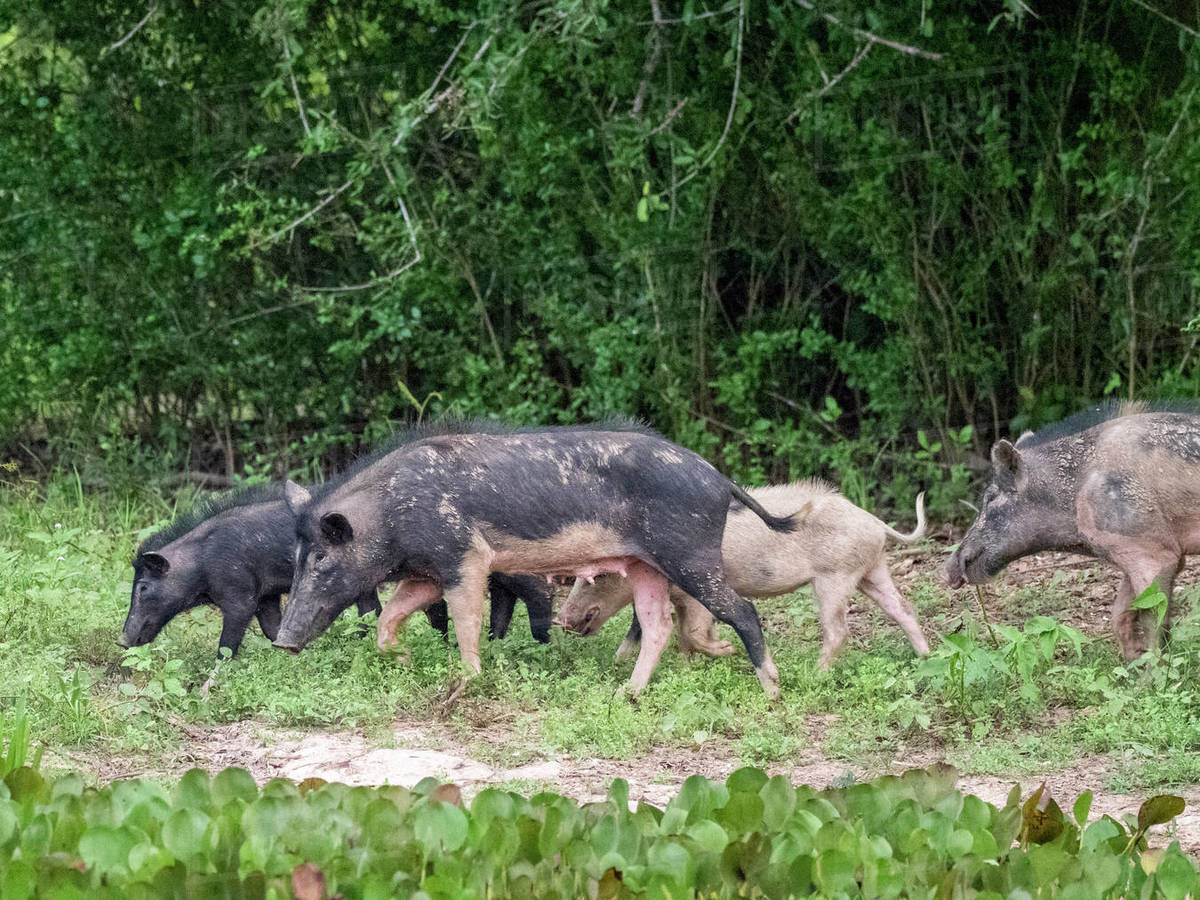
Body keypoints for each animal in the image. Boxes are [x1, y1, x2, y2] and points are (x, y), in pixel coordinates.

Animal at [122, 485, 551, 658]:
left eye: (142, 587)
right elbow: (272, 629)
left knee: (536, 593)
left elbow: (228, 643)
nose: (122, 640)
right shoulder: (266, 597)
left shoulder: (239, 594)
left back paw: (544, 642)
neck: (202, 563)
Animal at [273, 420, 798, 698]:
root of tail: (721, 480)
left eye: (321, 558)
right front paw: (401, 660)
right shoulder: (427, 572)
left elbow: (467, 620)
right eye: (295, 557)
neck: (389, 515)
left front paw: (467, 679)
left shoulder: (465, 556)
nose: (282, 642)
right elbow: (391, 617)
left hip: (690, 553)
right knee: (657, 623)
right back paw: (626, 693)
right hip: (647, 565)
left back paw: (771, 690)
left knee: (743, 611)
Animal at [556, 480, 930, 668]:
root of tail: (875, 522)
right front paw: (685, 666)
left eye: (600, 576)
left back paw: (814, 673)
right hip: (871, 570)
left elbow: (692, 630)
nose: (562, 619)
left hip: (834, 578)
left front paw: (726, 651)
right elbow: (668, 631)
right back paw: (926, 657)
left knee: (838, 630)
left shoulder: (696, 592)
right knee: (904, 609)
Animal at [946, 401, 1200, 659]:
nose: (947, 570)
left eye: (990, 498)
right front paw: (1132, 662)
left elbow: (1154, 622)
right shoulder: (1133, 553)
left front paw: (1152, 669)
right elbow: (1119, 616)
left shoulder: (1155, 553)